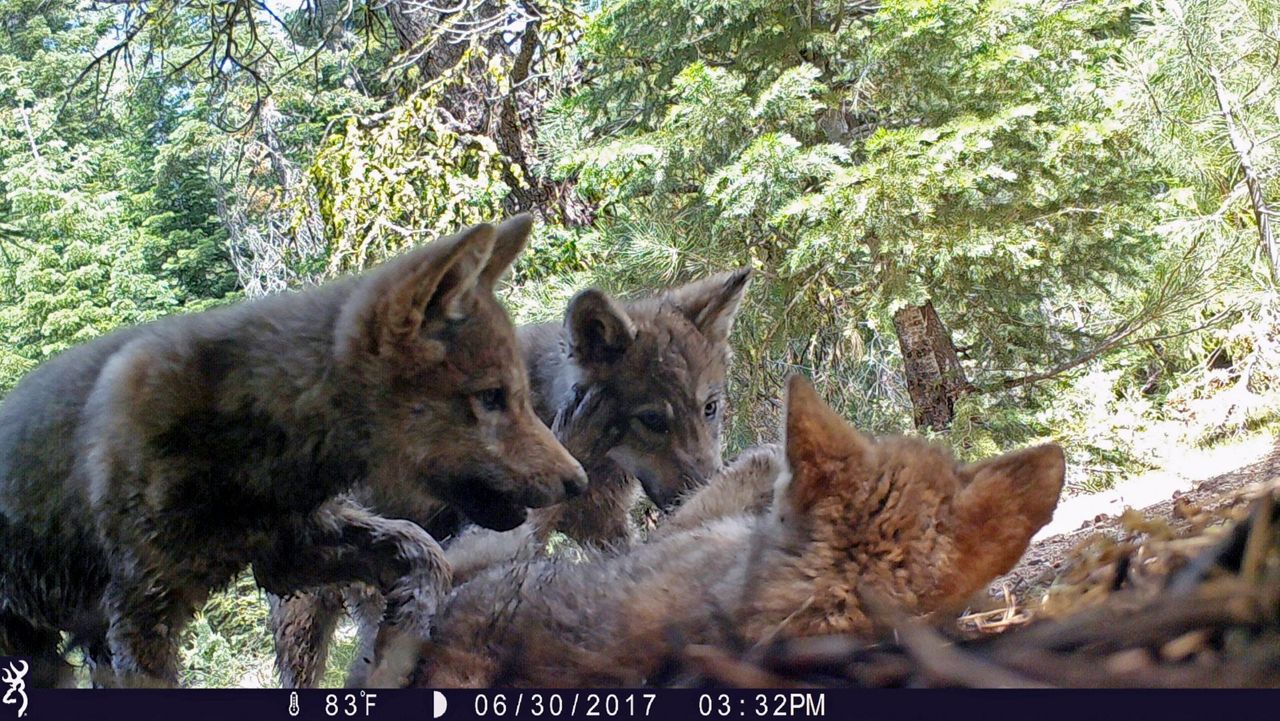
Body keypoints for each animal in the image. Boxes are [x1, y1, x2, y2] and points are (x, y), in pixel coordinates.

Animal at [0, 215, 587, 687]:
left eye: (520, 396)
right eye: (490, 398)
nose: (578, 481)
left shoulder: (290, 552)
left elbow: (424, 555)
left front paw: (392, 650)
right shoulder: (140, 614)